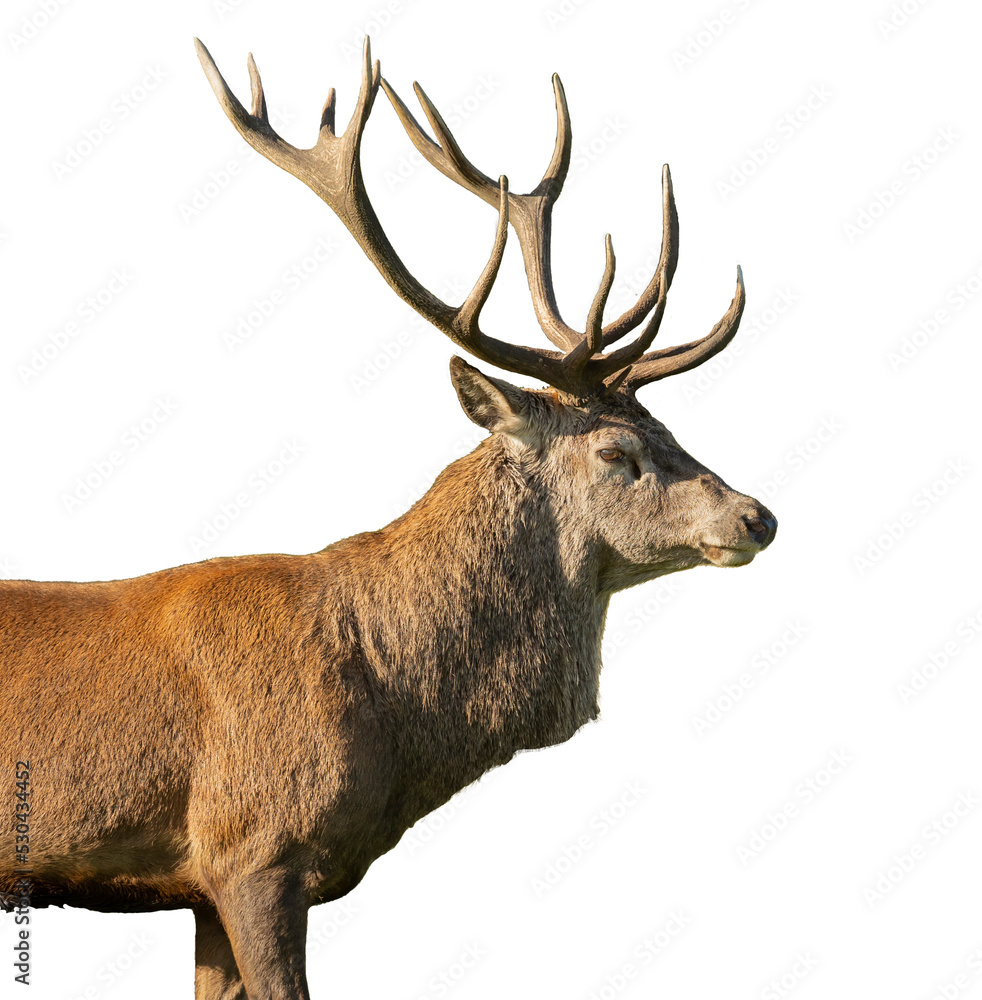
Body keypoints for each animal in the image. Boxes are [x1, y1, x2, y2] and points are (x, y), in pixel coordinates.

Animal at [0, 37, 777, 1000]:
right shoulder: (254, 847)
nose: (756, 516)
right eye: (615, 451)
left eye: (672, 428)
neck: (395, 712)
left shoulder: (200, 885)